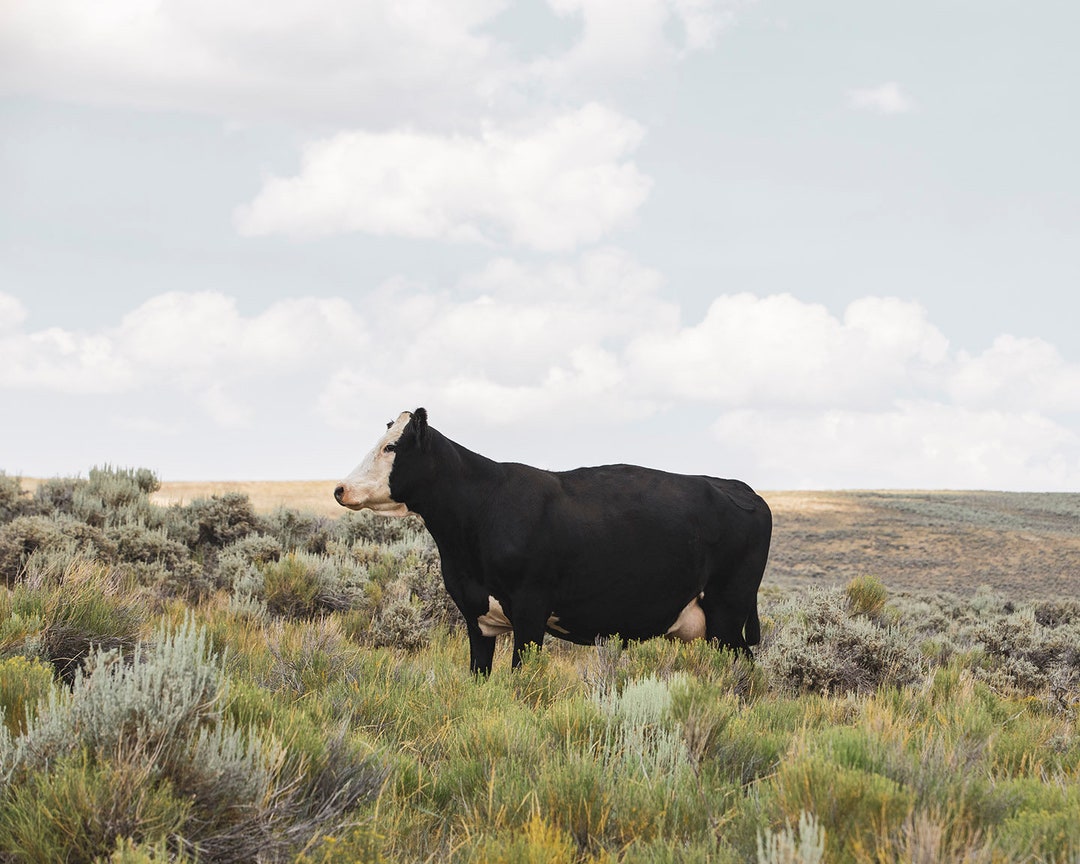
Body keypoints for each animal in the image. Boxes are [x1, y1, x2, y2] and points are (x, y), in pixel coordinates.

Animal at [334, 408, 772, 675]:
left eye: (391, 446)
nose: (340, 489)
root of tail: (739, 487)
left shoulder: (531, 610)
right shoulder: (476, 617)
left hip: (727, 611)